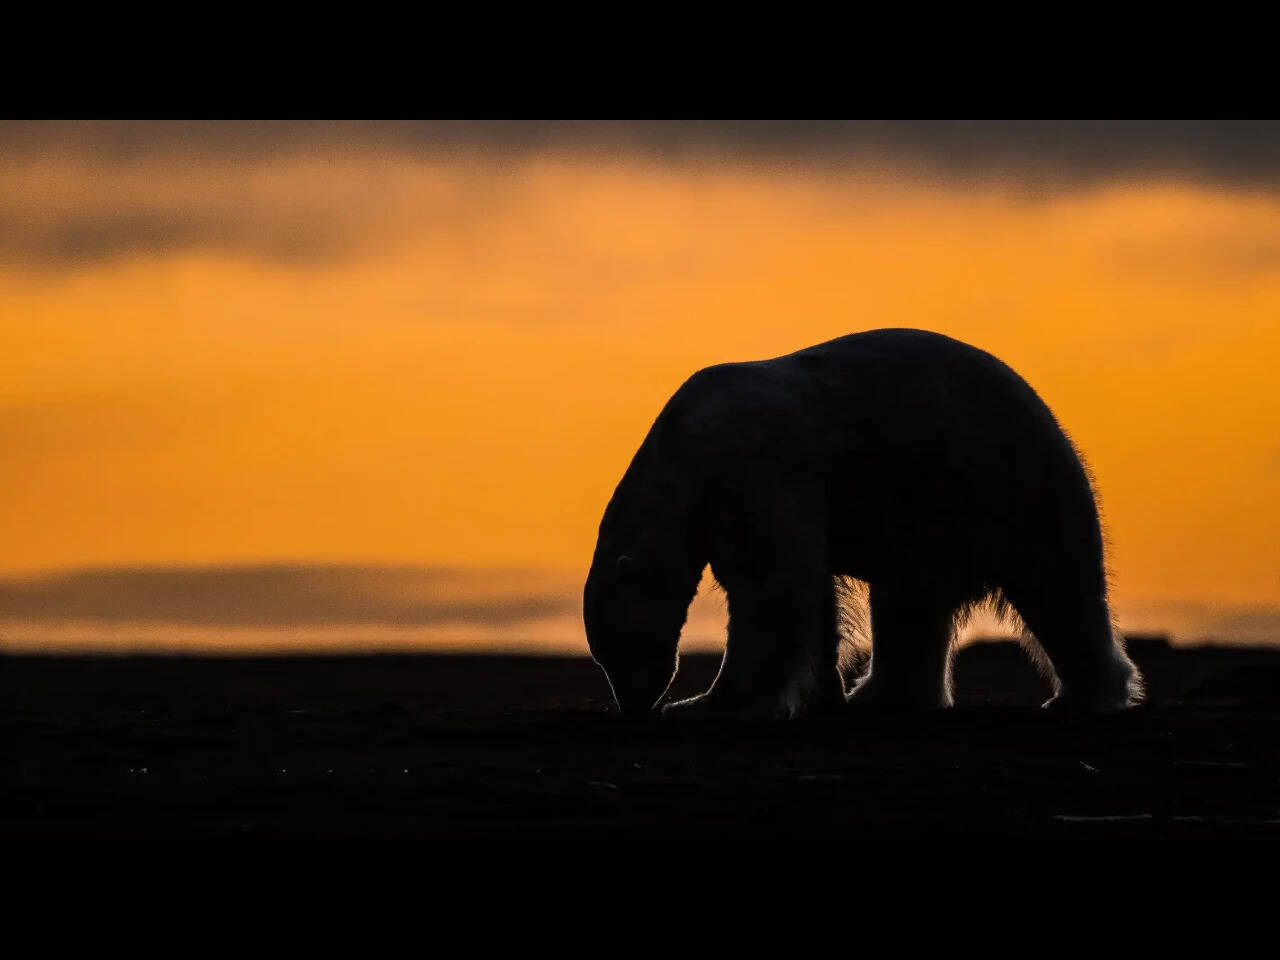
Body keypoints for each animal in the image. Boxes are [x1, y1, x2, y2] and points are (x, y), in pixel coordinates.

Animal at [582, 328, 1142, 719]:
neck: (685, 454)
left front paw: (707, 702)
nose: (634, 702)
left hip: (1008, 487)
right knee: (910, 606)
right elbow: (812, 596)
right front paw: (821, 694)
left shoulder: (755, 471)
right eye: (604, 656)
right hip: (927, 521)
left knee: (1057, 587)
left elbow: (769, 590)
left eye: (618, 647)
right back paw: (882, 694)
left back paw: (1084, 695)